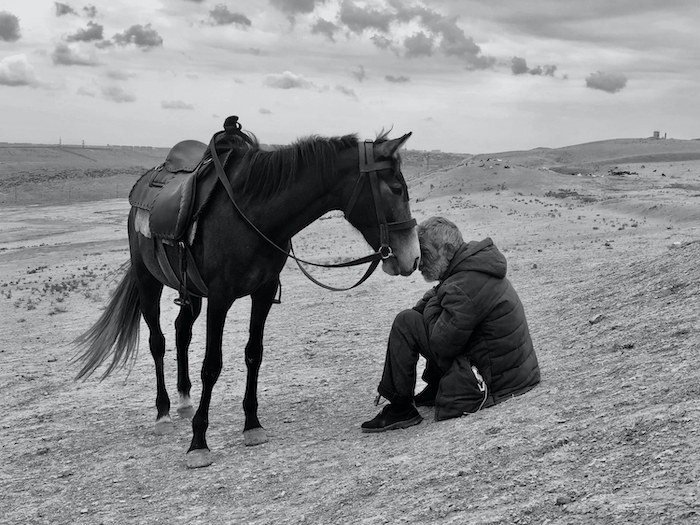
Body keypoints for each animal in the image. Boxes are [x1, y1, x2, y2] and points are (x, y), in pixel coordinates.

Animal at [74, 122, 418, 466]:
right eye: (396, 189)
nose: (412, 257)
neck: (253, 214)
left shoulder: (262, 293)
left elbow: (254, 354)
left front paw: (252, 425)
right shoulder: (220, 298)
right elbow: (211, 365)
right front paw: (198, 443)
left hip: (191, 291)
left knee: (182, 332)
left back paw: (184, 400)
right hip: (148, 281)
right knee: (157, 342)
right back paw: (164, 414)